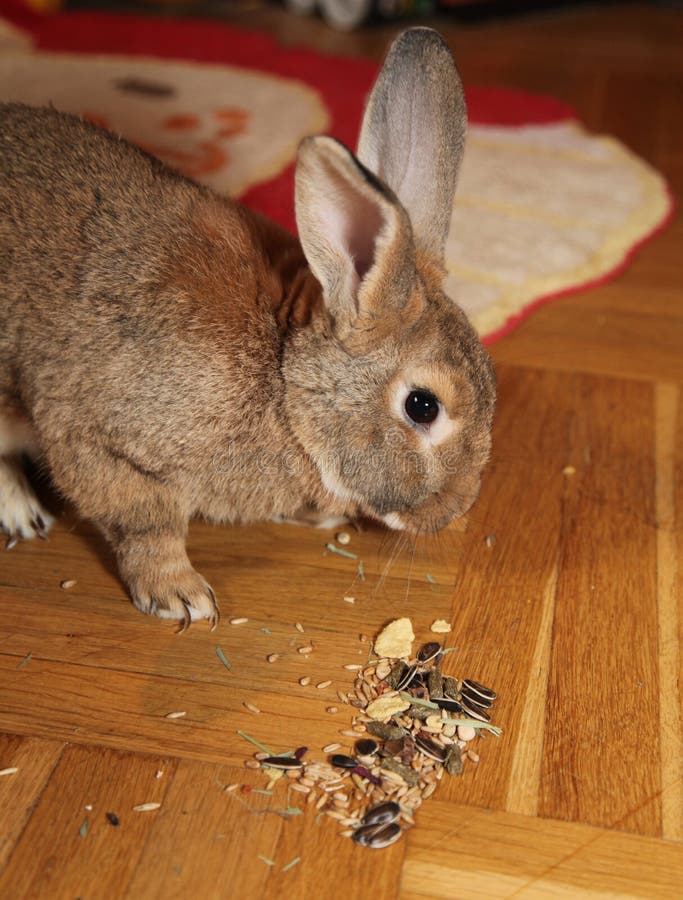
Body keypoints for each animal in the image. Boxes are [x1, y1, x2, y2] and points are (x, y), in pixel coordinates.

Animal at [0, 27, 495, 629]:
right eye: (423, 406)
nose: (455, 509)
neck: (283, 380)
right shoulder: (94, 435)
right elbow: (147, 523)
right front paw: (178, 595)